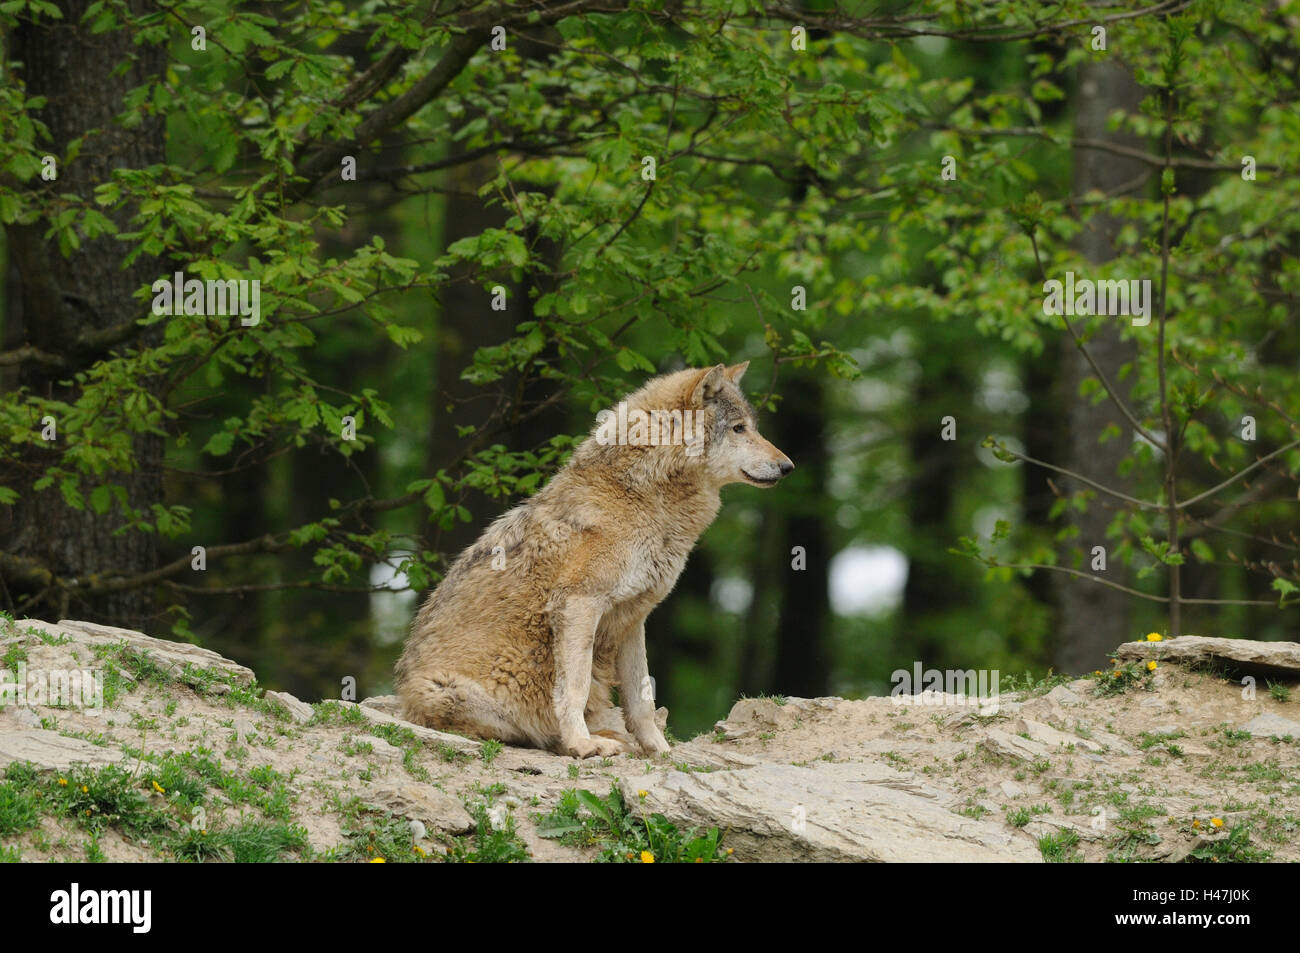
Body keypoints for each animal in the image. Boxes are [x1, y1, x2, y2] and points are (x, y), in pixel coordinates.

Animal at [395, 362, 794, 758]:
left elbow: (642, 701)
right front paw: (581, 744)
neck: (642, 498)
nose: (788, 466)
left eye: (752, 427)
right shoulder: (578, 605)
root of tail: (404, 696)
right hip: (455, 692)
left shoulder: (634, 619)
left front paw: (660, 750)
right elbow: (575, 687)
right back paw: (572, 740)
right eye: (740, 428)